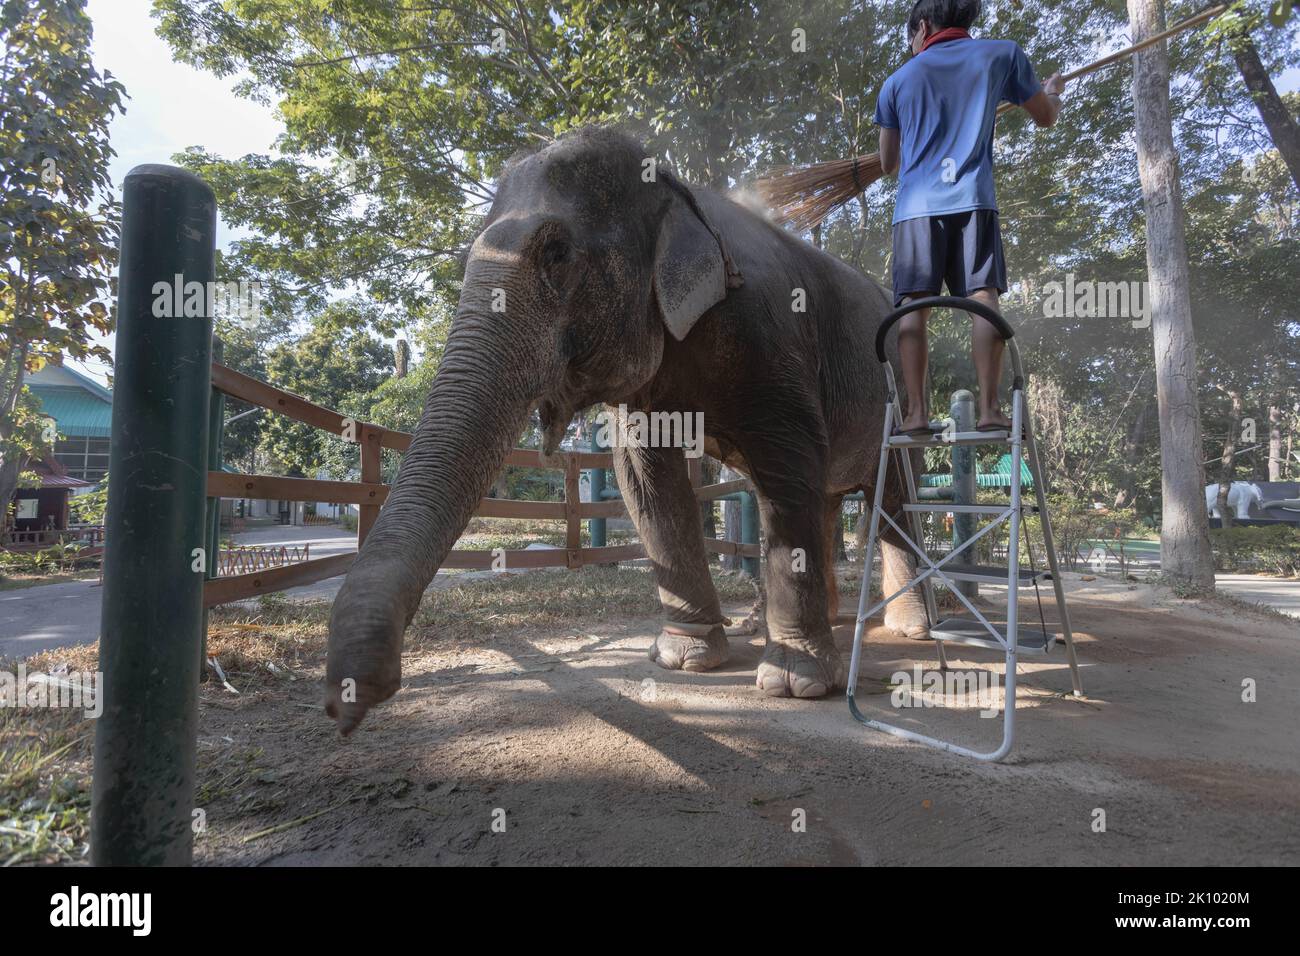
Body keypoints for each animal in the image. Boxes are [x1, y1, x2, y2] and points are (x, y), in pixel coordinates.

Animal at [325, 127, 935, 738]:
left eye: (557, 253)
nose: (346, 711)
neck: (675, 189)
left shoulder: (771, 331)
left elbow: (785, 468)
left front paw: (795, 684)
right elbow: (646, 477)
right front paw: (682, 659)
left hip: (904, 400)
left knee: (891, 498)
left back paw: (909, 630)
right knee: (830, 496)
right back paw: (816, 619)